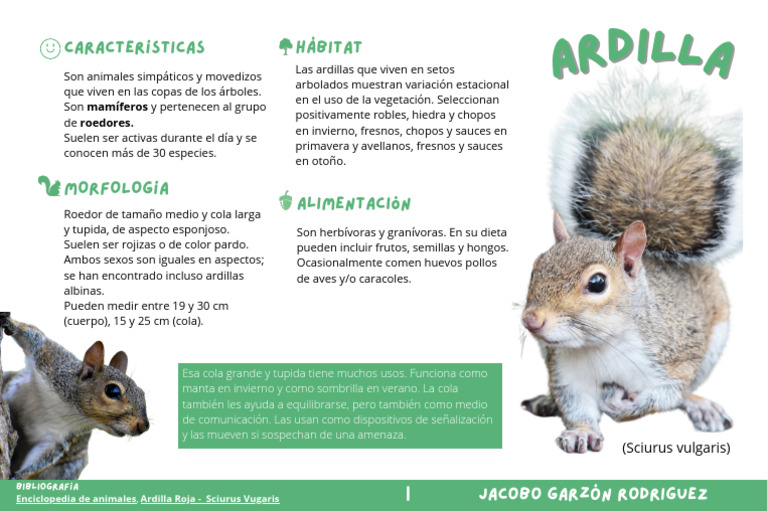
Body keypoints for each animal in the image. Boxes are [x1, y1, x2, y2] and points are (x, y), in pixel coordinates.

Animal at [0, 314, 149, 478]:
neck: (68, 407)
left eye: (142, 393)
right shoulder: (50, 358)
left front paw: (19, 476)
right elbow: (35, 336)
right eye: (113, 391)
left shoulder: (61, 438)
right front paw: (11, 323)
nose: (144, 426)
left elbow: (44, 458)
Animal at [520, 76, 742, 454]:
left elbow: (667, 394)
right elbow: (575, 406)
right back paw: (546, 401)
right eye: (536, 267)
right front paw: (580, 432)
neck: (600, 345)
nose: (531, 320)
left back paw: (701, 406)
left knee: (685, 394)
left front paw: (631, 406)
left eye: (597, 283)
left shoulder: (676, 356)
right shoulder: (566, 374)